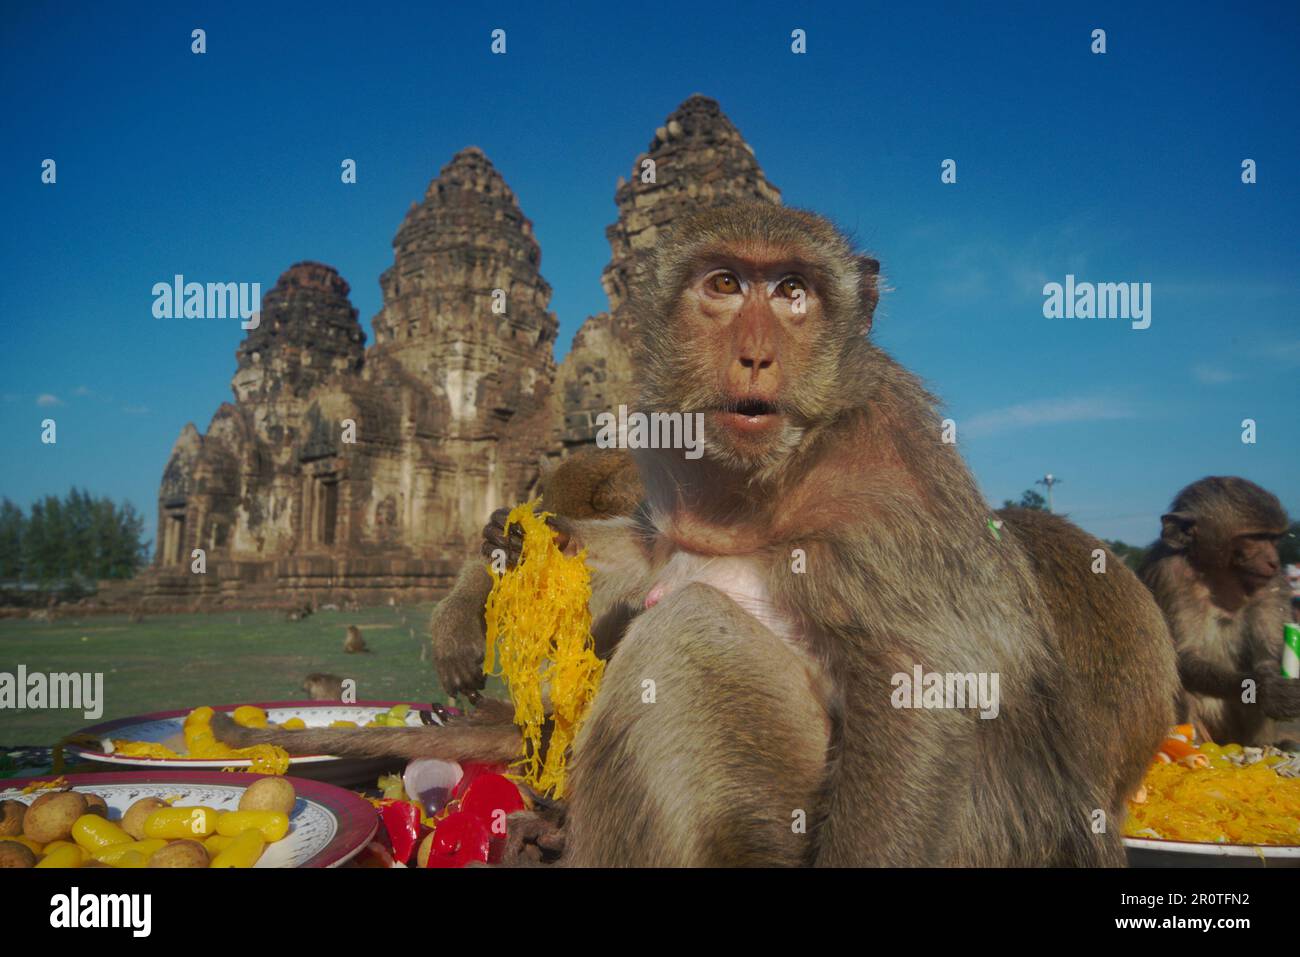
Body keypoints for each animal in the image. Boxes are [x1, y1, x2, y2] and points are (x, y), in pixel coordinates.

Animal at [217, 204, 1176, 866]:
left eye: (792, 293)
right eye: (723, 285)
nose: (756, 354)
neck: (771, 473)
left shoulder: (887, 475)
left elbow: (925, 685)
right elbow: (639, 553)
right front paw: (487, 572)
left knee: (687, 647)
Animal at [1138, 476, 1299, 747]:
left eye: (1273, 538)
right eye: (1256, 537)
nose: (1274, 561)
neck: (1219, 577)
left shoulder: (1272, 584)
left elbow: (1267, 654)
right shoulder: (1168, 575)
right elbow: (1180, 656)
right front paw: (1266, 689)